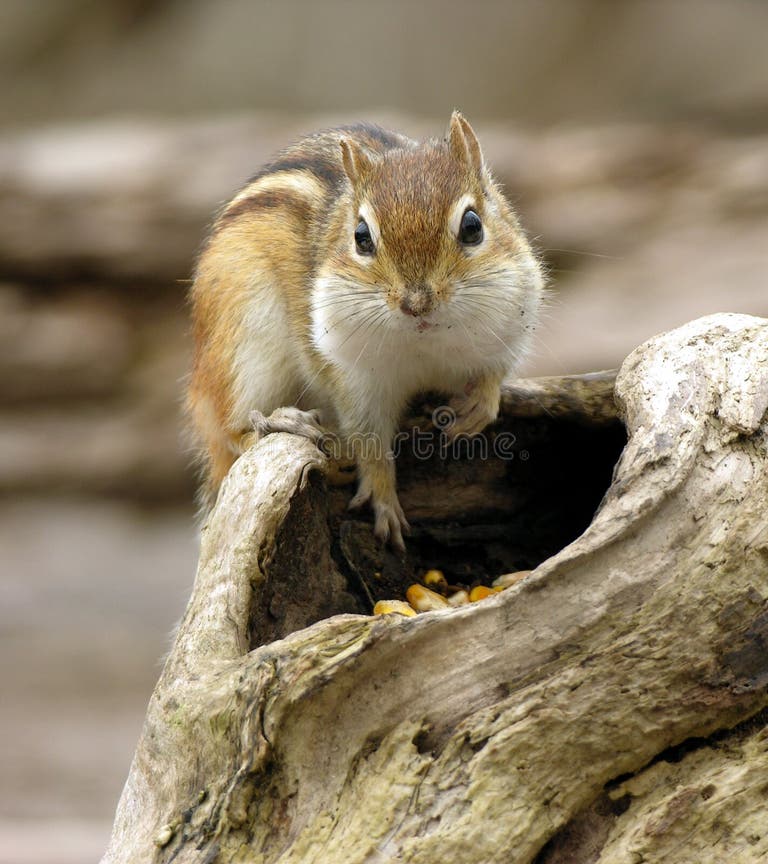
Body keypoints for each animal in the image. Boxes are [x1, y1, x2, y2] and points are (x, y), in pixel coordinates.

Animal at [187, 112, 543, 549]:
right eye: (361, 238)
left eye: (473, 226)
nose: (416, 303)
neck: (425, 345)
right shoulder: (353, 378)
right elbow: (369, 440)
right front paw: (384, 501)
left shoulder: (509, 329)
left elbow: (493, 376)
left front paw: (479, 405)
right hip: (243, 344)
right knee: (229, 431)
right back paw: (283, 422)